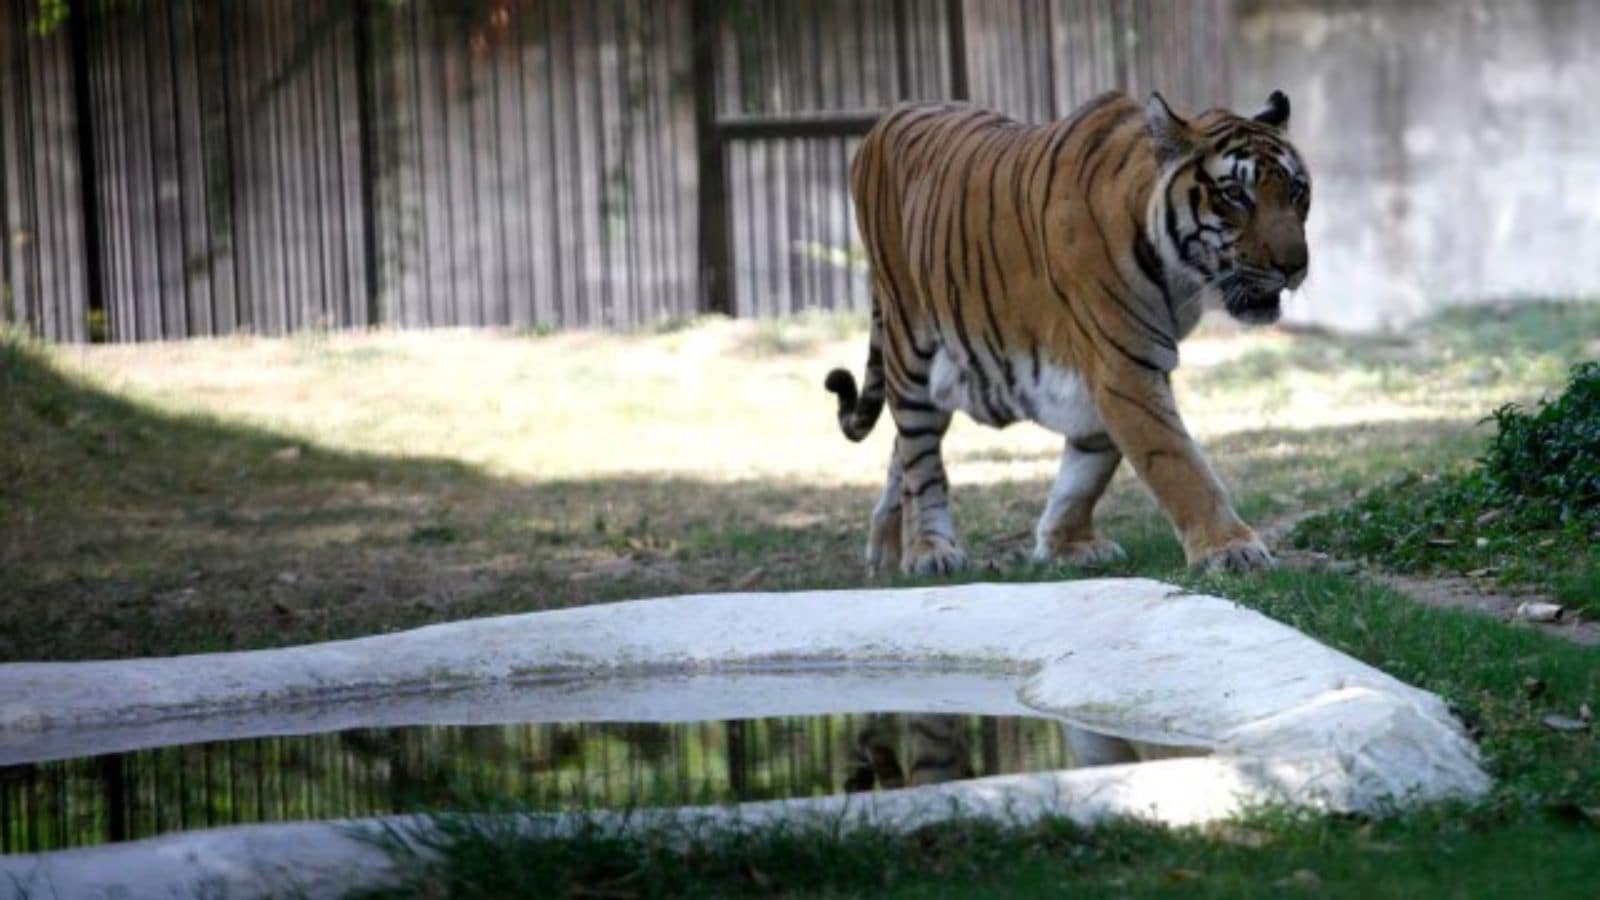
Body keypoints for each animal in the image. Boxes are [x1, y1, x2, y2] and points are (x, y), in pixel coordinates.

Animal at [825, 90, 1310, 576]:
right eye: (1235, 195)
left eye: (1296, 191)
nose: (1295, 266)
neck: (1181, 279)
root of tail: (892, 113)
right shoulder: (1123, 365)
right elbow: (1177, 463)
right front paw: (1230, 549)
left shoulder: (1119, 369)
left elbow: (1087, 470)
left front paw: (1066, 544)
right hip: (910, 340)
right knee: (918, 455)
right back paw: (928, 550)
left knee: (903, 447)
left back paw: (887, 549)